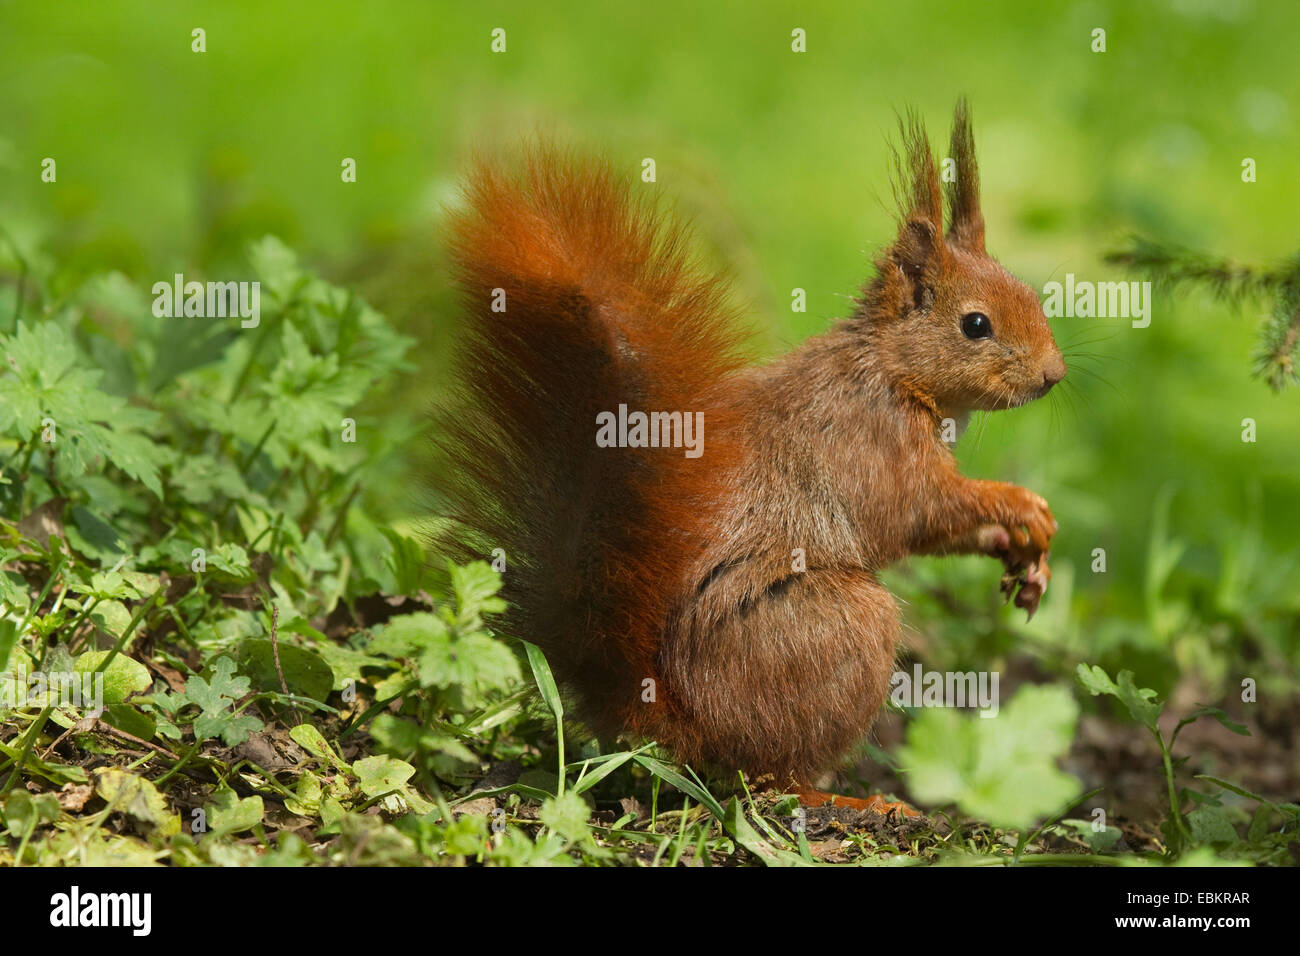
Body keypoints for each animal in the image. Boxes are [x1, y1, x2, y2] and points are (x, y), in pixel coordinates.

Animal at [430, 100, 1065, 808]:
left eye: (1030, 293)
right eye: (976, 325)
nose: (1054, 375)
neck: (894, 373)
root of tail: (674, 718)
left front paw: (1023, 555)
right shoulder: (870, 444)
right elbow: (916, 511)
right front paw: (1022, 507)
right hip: (836, 631)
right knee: (765, 783)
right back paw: (849, 799)